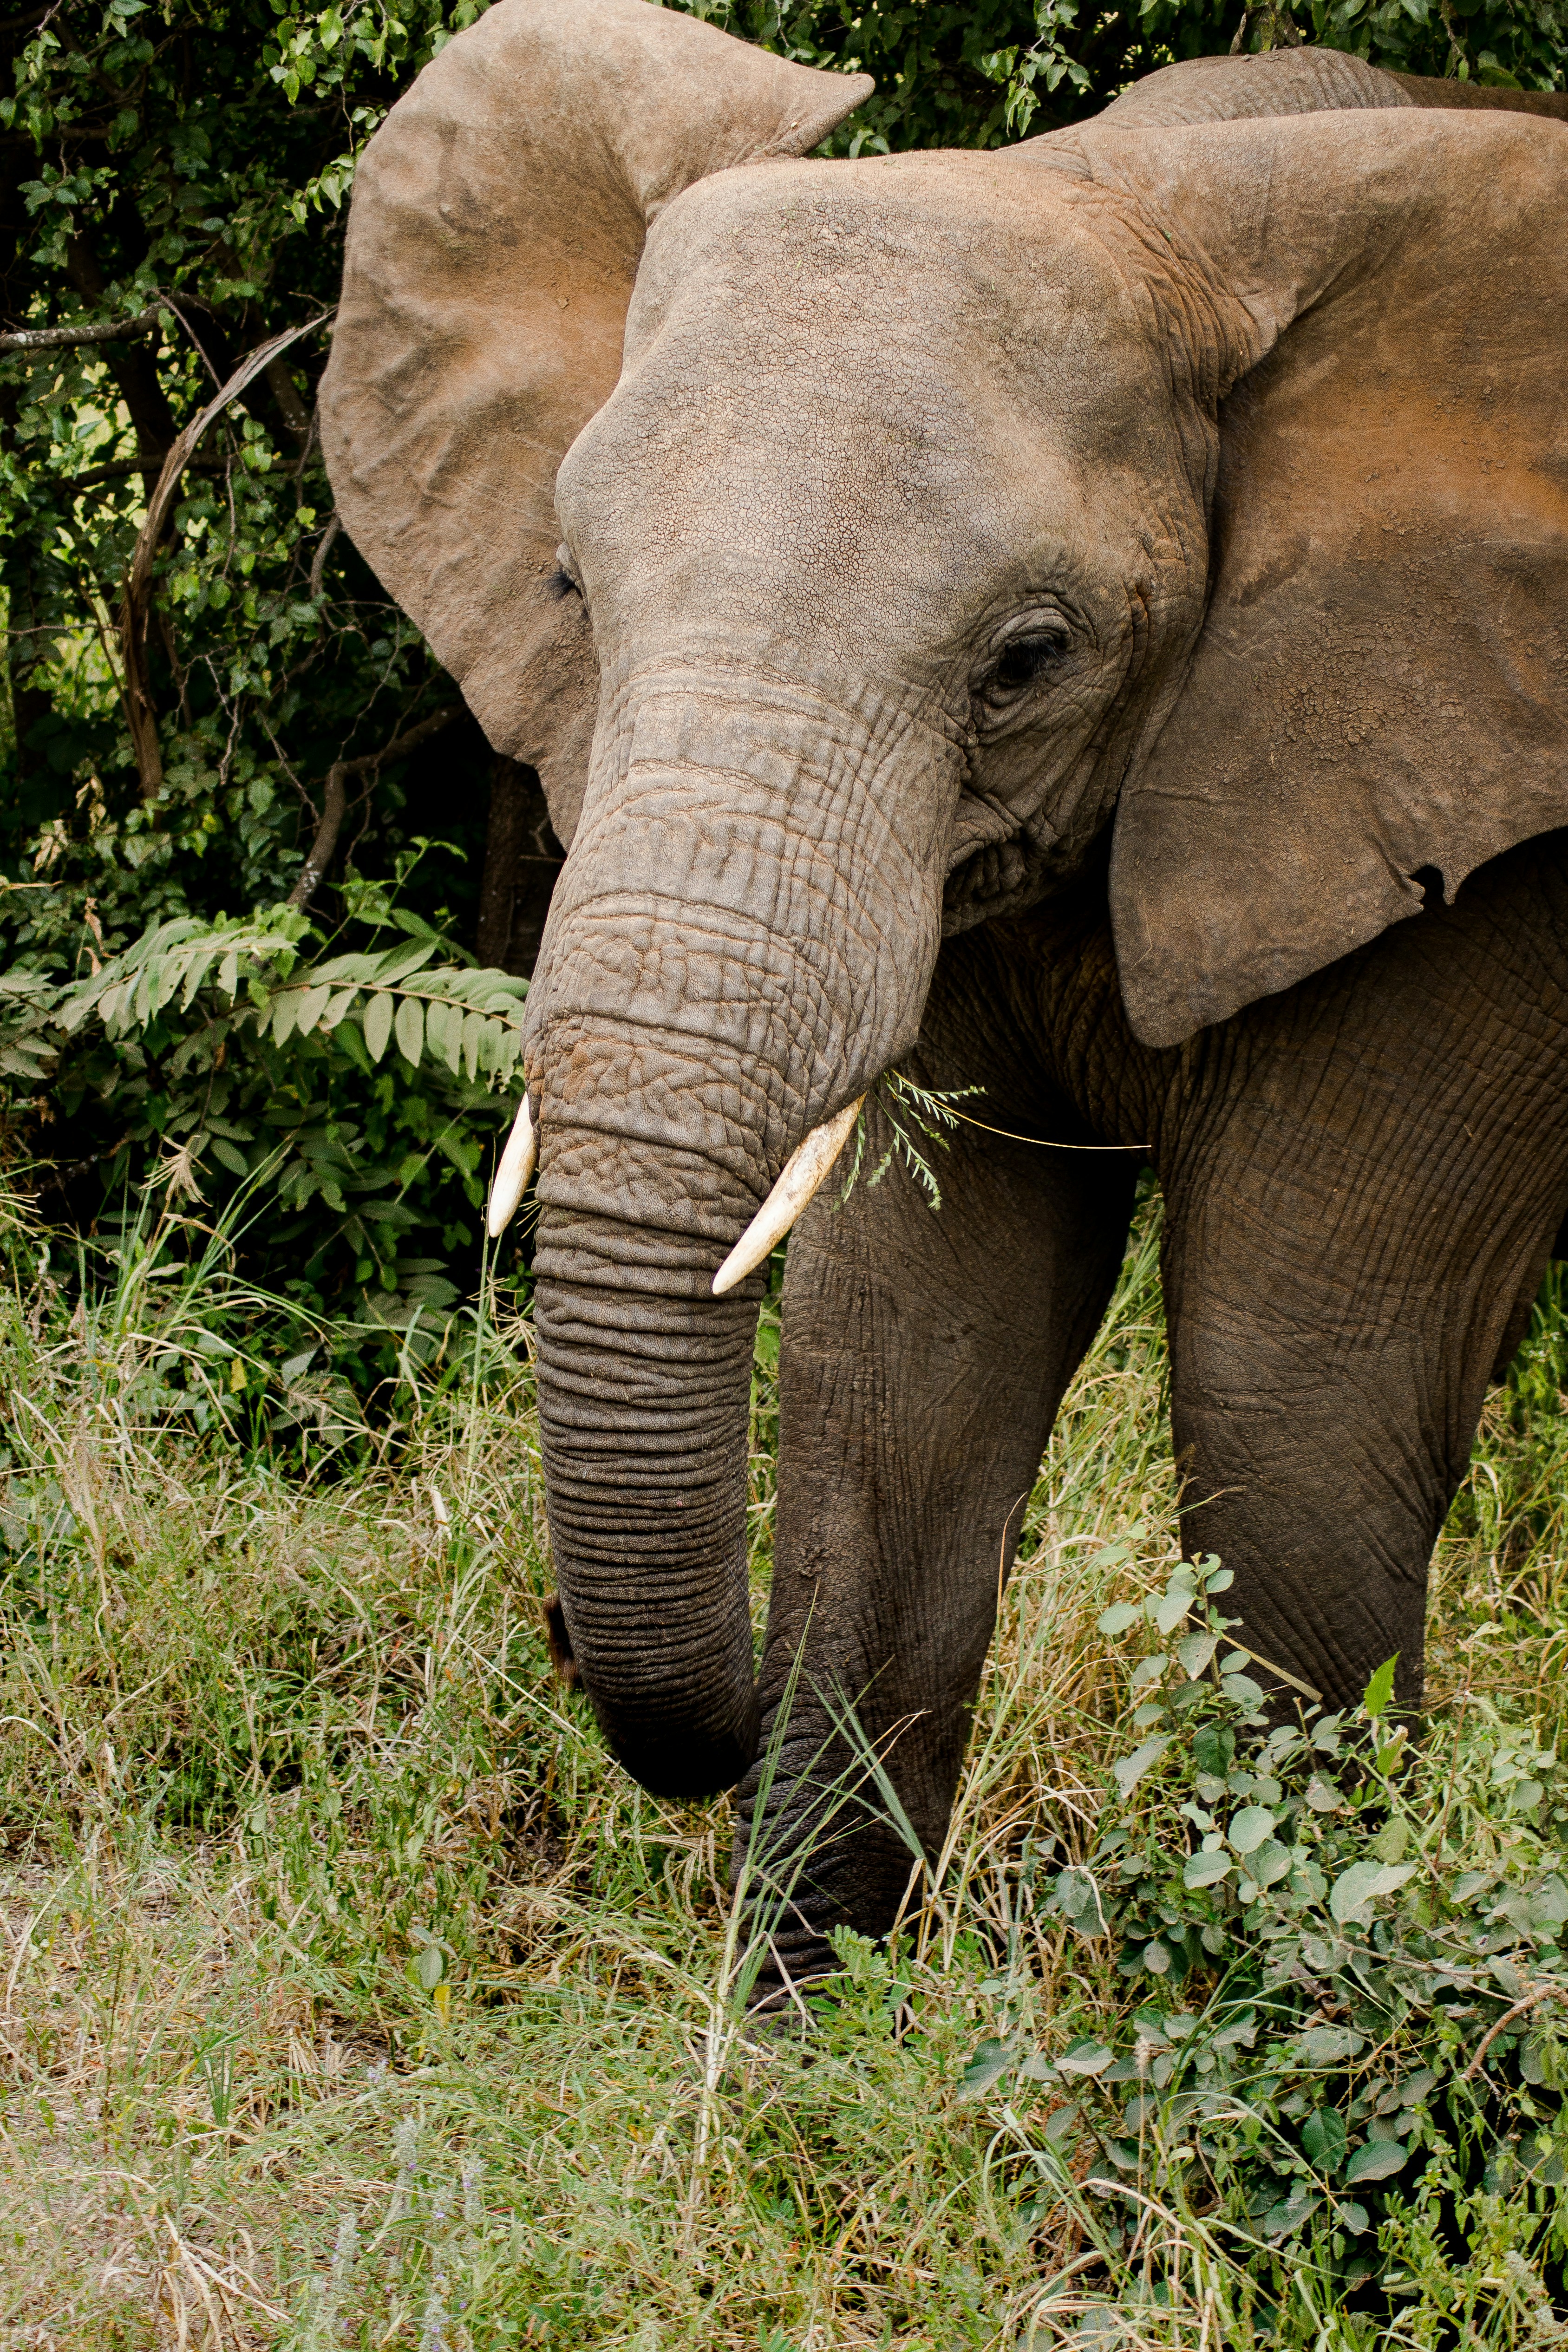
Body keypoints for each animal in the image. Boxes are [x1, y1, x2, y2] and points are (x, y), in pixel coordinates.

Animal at [321, 0, 1568, 1989]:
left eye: (1026, 659)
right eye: (568, 587)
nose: (555, 1637)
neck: (1154, 187)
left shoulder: (1465, 845)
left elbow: (1296, 1393)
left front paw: (1279, 1985)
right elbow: (901, 1351)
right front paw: (795, 2021)